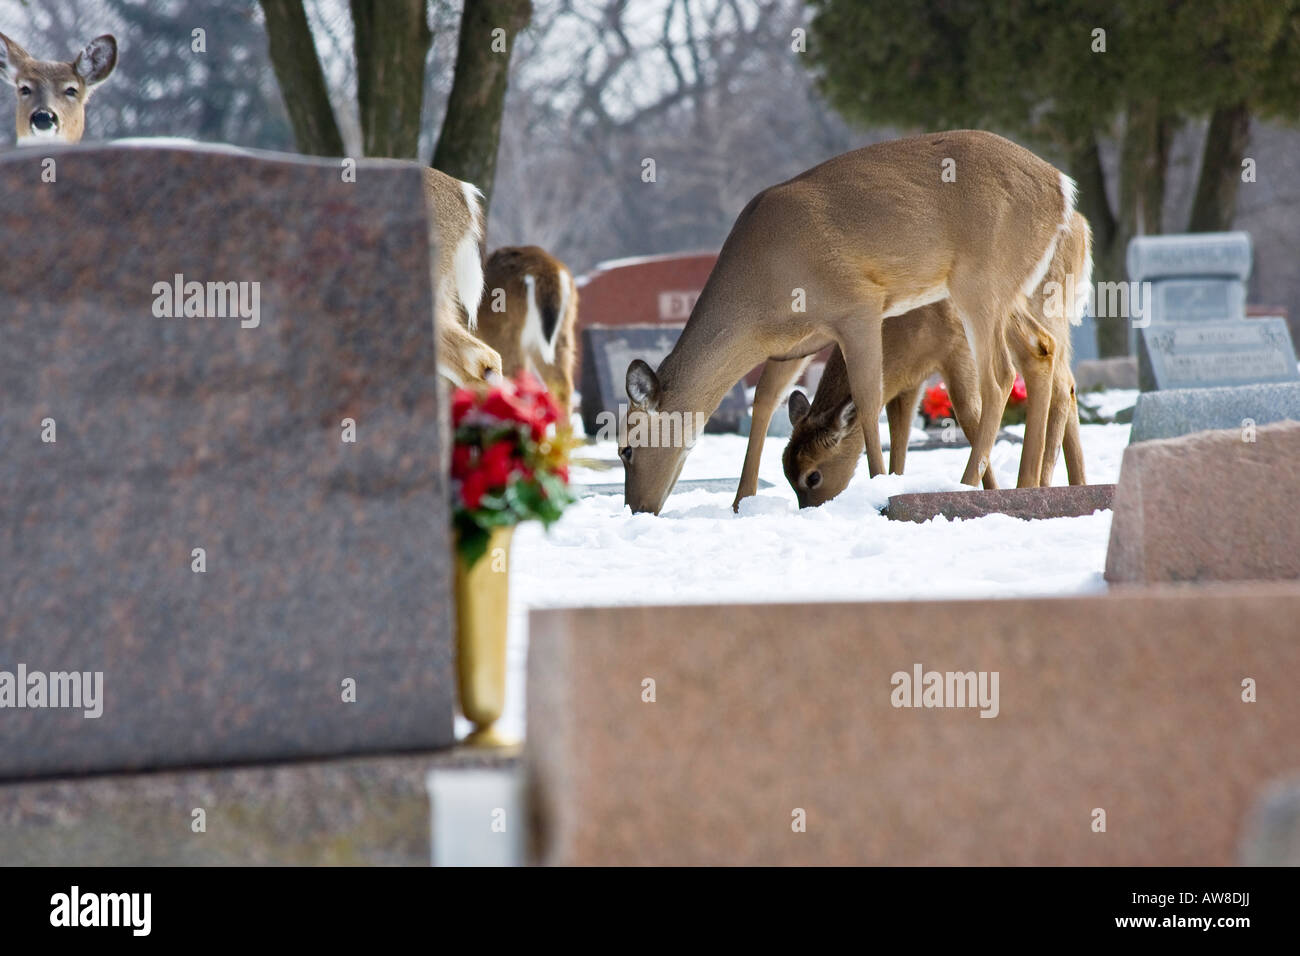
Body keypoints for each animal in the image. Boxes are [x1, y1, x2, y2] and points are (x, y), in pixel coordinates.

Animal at [767, 211, 1093, 509]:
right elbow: (899, 438)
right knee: (1067, 382)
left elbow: (969, 416)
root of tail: (1082, 226)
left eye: (813, 476)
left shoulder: (958, 350)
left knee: (1053, 373)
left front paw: (981, 491)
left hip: (1045, 308)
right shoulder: (909, 382)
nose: (810, 509)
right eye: (786, 474)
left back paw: (1039, 482)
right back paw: (1075, 482)